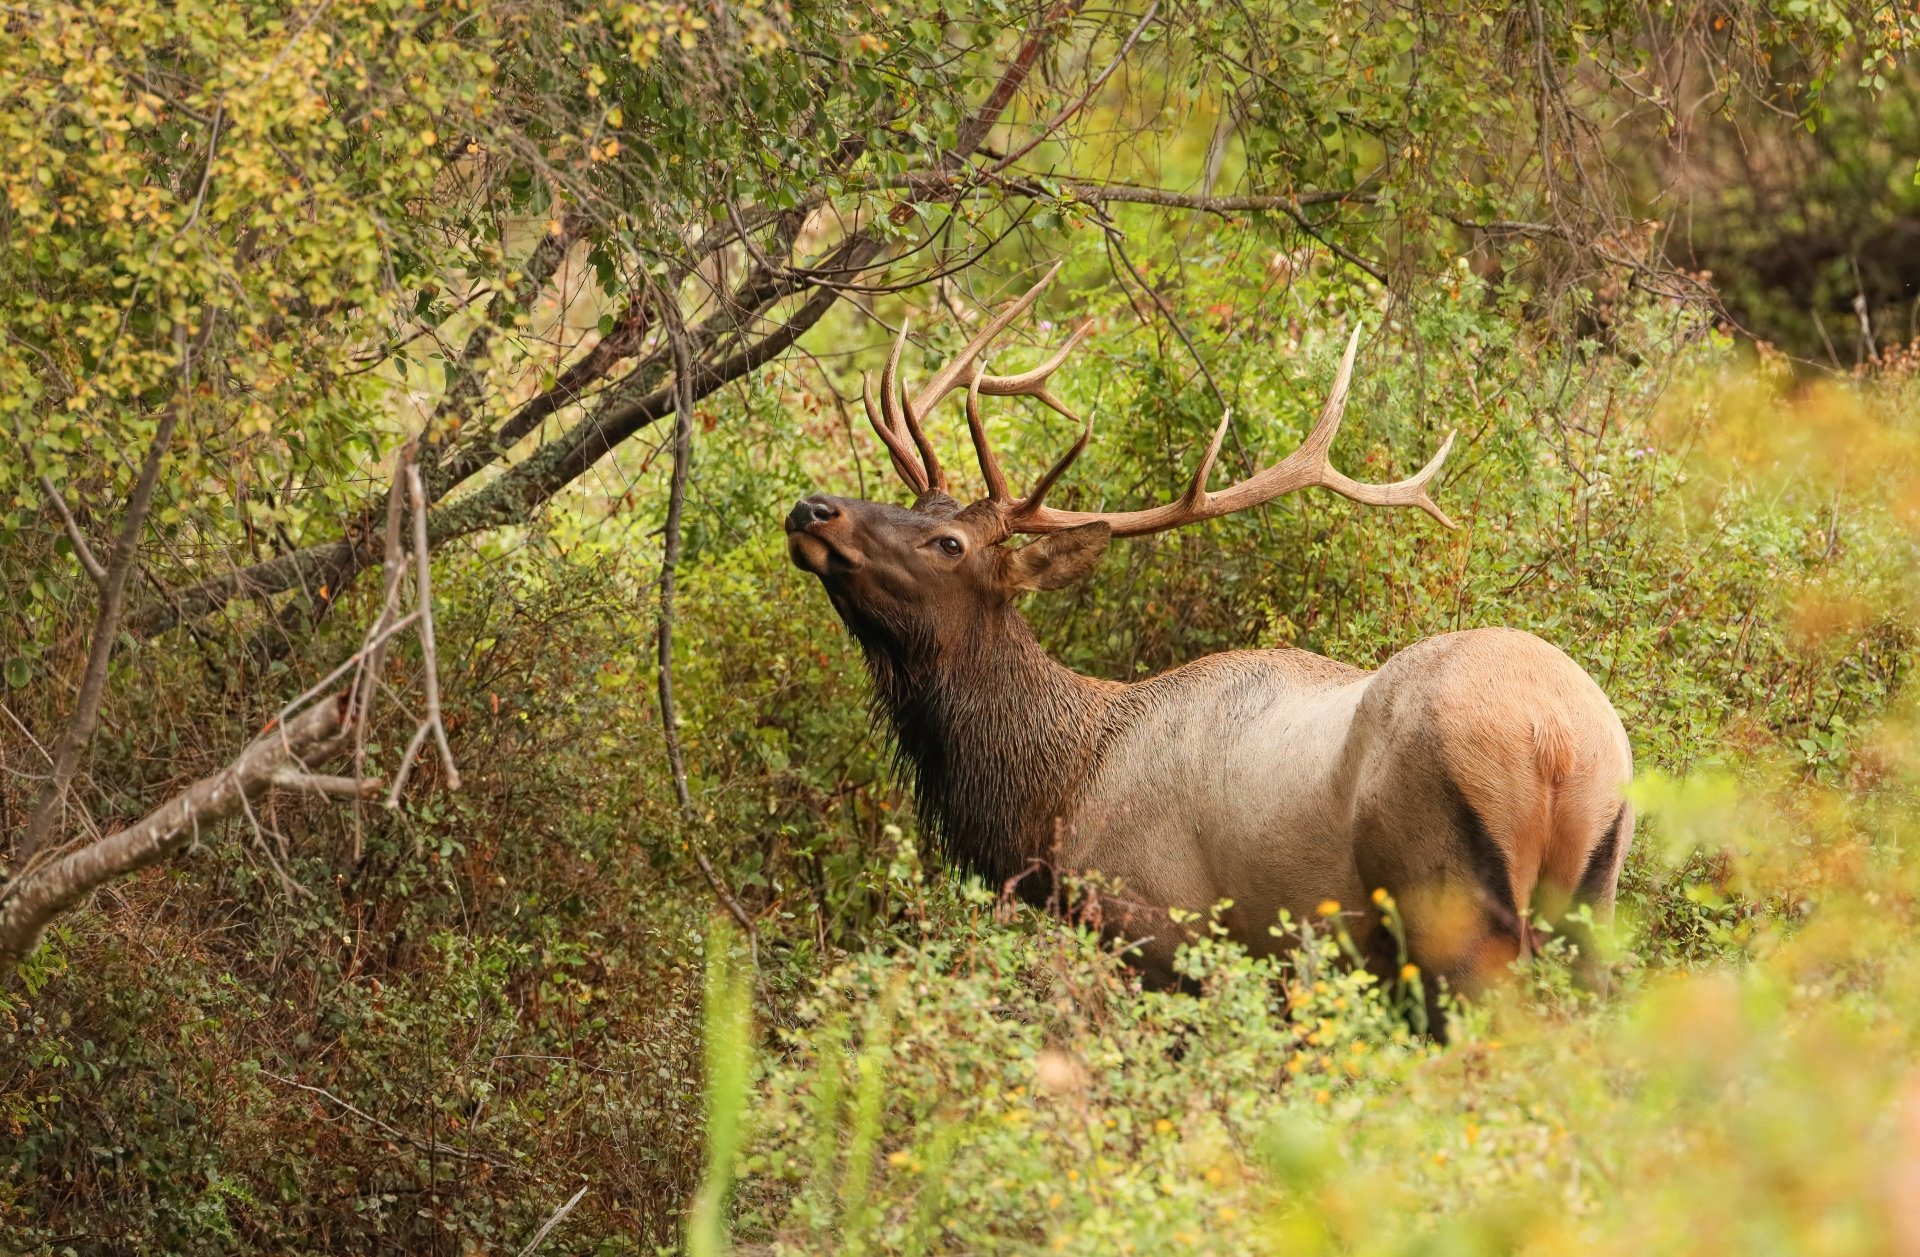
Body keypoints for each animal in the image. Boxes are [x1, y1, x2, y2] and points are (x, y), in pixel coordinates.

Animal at [785, 264, 1633, 1017]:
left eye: (950, 543)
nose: (812, 507)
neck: (1058, 795)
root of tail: (1558, 739)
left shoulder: (1156, 930)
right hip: (1592, 904)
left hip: (1449, 902)